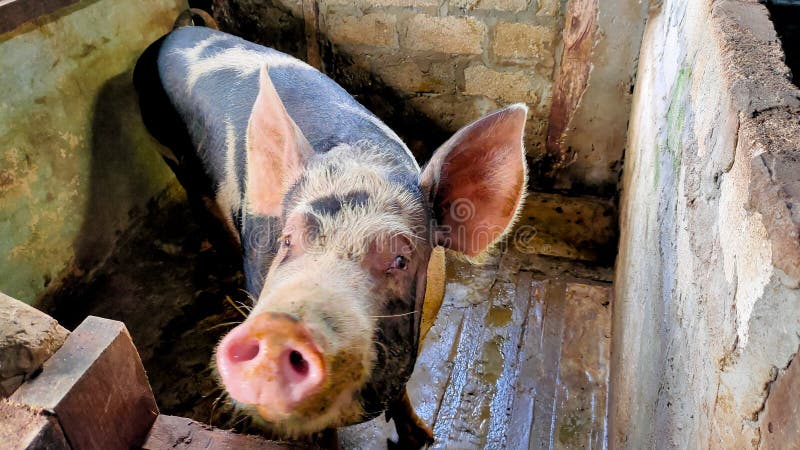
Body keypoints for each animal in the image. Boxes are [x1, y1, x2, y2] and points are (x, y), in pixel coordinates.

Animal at [134, 14, 527, 448]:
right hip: (171, 158)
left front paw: (423, 437)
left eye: (400, 259)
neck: (360, 162)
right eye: (287, 240)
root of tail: (172, 34)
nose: (279, 328)